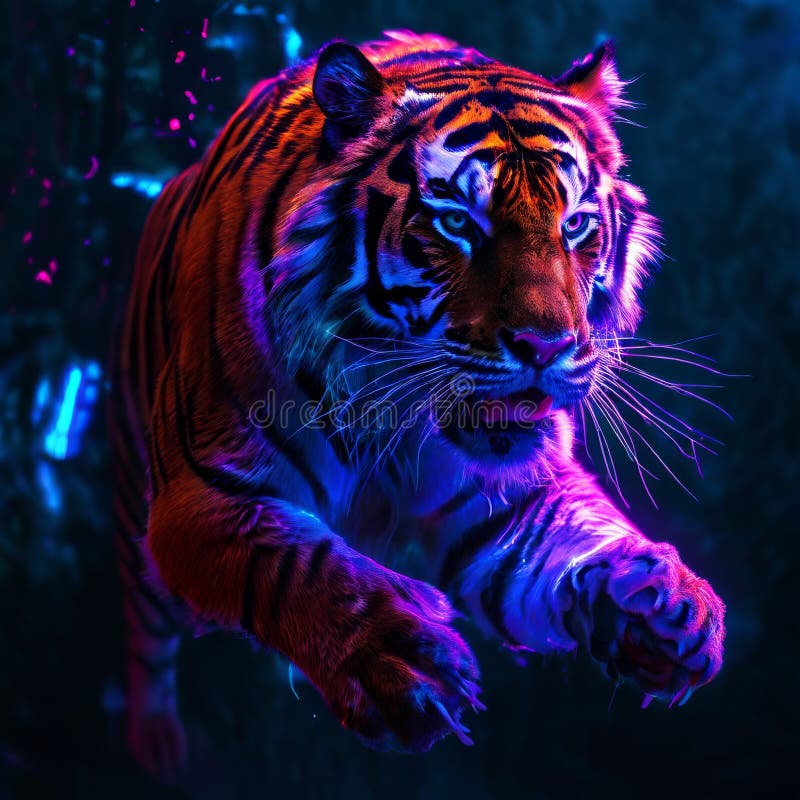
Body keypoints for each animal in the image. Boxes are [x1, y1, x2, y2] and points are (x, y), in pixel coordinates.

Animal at [110, 30, 726, 779]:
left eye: (576, 224)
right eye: (457, 222)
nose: (546, 346)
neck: (392, 423)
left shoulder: (505, 503)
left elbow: (578, 533)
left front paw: (666, 603)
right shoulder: (201, 494)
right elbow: (298, 565)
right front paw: (402, 656)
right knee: (144, 628)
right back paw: (156, 743)